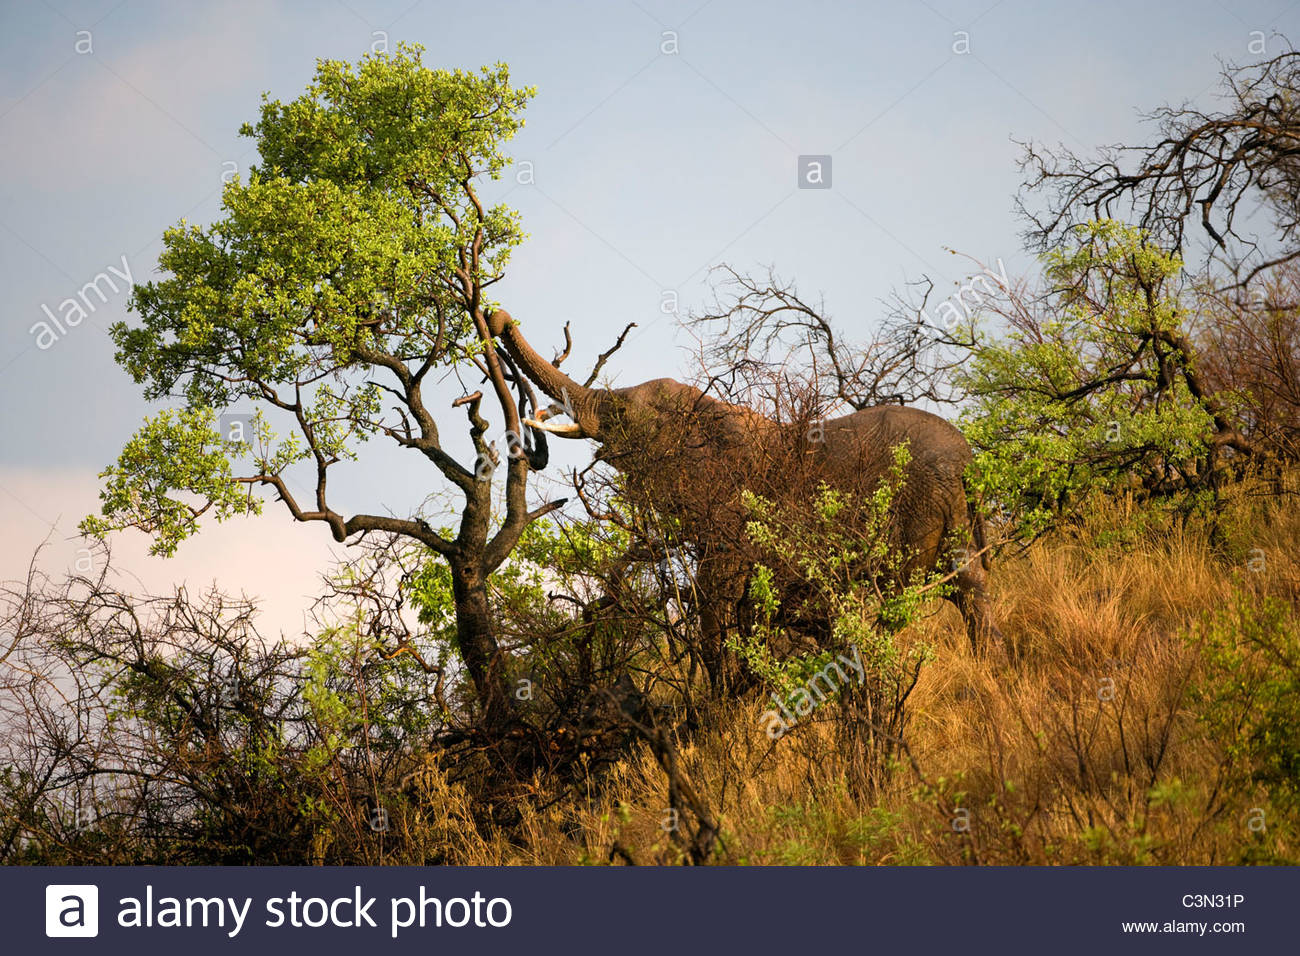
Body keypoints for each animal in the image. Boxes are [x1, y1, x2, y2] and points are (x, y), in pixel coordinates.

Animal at [486, 308, 1002, 688]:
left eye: (620, 412)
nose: (497, 317)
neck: (706, 414)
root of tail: (969, 458)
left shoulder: (730, 511)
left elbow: (717, 590)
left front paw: (719, 704)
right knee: (969, 586)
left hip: (924, 500)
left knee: (925, 586)